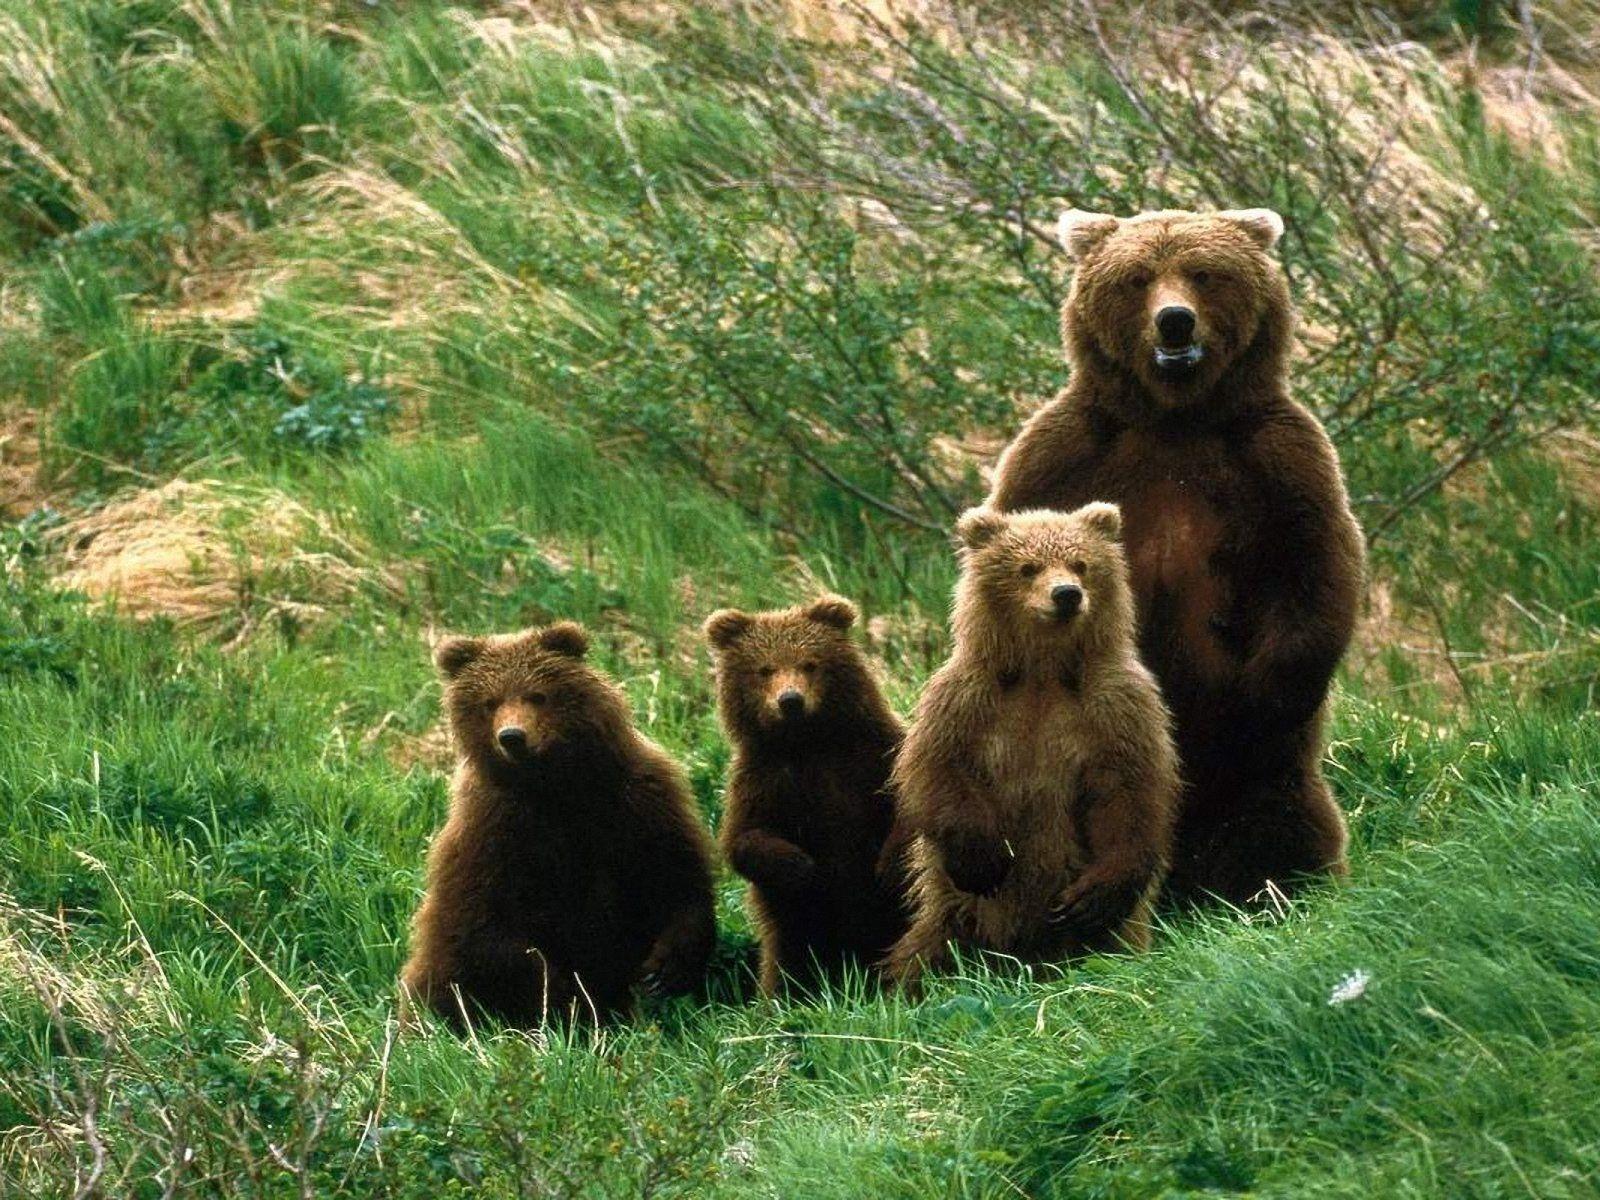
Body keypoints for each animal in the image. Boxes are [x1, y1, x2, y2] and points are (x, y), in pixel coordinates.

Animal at [399, 622, 716, 1029]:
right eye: (490, 702)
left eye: (537, 695)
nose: (512, 737)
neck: (555, 785)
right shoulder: (493, 829)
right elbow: (484, 920)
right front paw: (566, 995)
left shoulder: (636, 799)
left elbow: (675, 873)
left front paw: (665, 968)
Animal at [704, 595, 911, 996]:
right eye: (765, 669)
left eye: (810, 663)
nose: (790, 700)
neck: (808, 742)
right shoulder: (764, 780)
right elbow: (744, 839)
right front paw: (800, 866)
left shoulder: (872, 756)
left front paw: (888, 865)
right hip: (794, 932)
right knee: (787, 963)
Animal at [886, 503, 1179, 988]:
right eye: (1027, 567)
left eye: (1081, 563)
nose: (1066, 595)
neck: (1043, 670)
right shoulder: (968, 700)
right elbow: (937, 770)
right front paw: (984, 856)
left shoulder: (1116, 707)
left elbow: (1129, 790)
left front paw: (1094, 897)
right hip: (955, 912)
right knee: (930, 949)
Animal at [987, 207, 1365, 906]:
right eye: (1138, 278)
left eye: (1203, 272)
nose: (1175, 321)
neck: (1175, 418)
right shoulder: (1063, 454)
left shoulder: (1277, 458)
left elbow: (1314, 562)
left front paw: (1267, 694)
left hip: (1265, 780)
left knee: (1281, 817)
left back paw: (1279, 884)